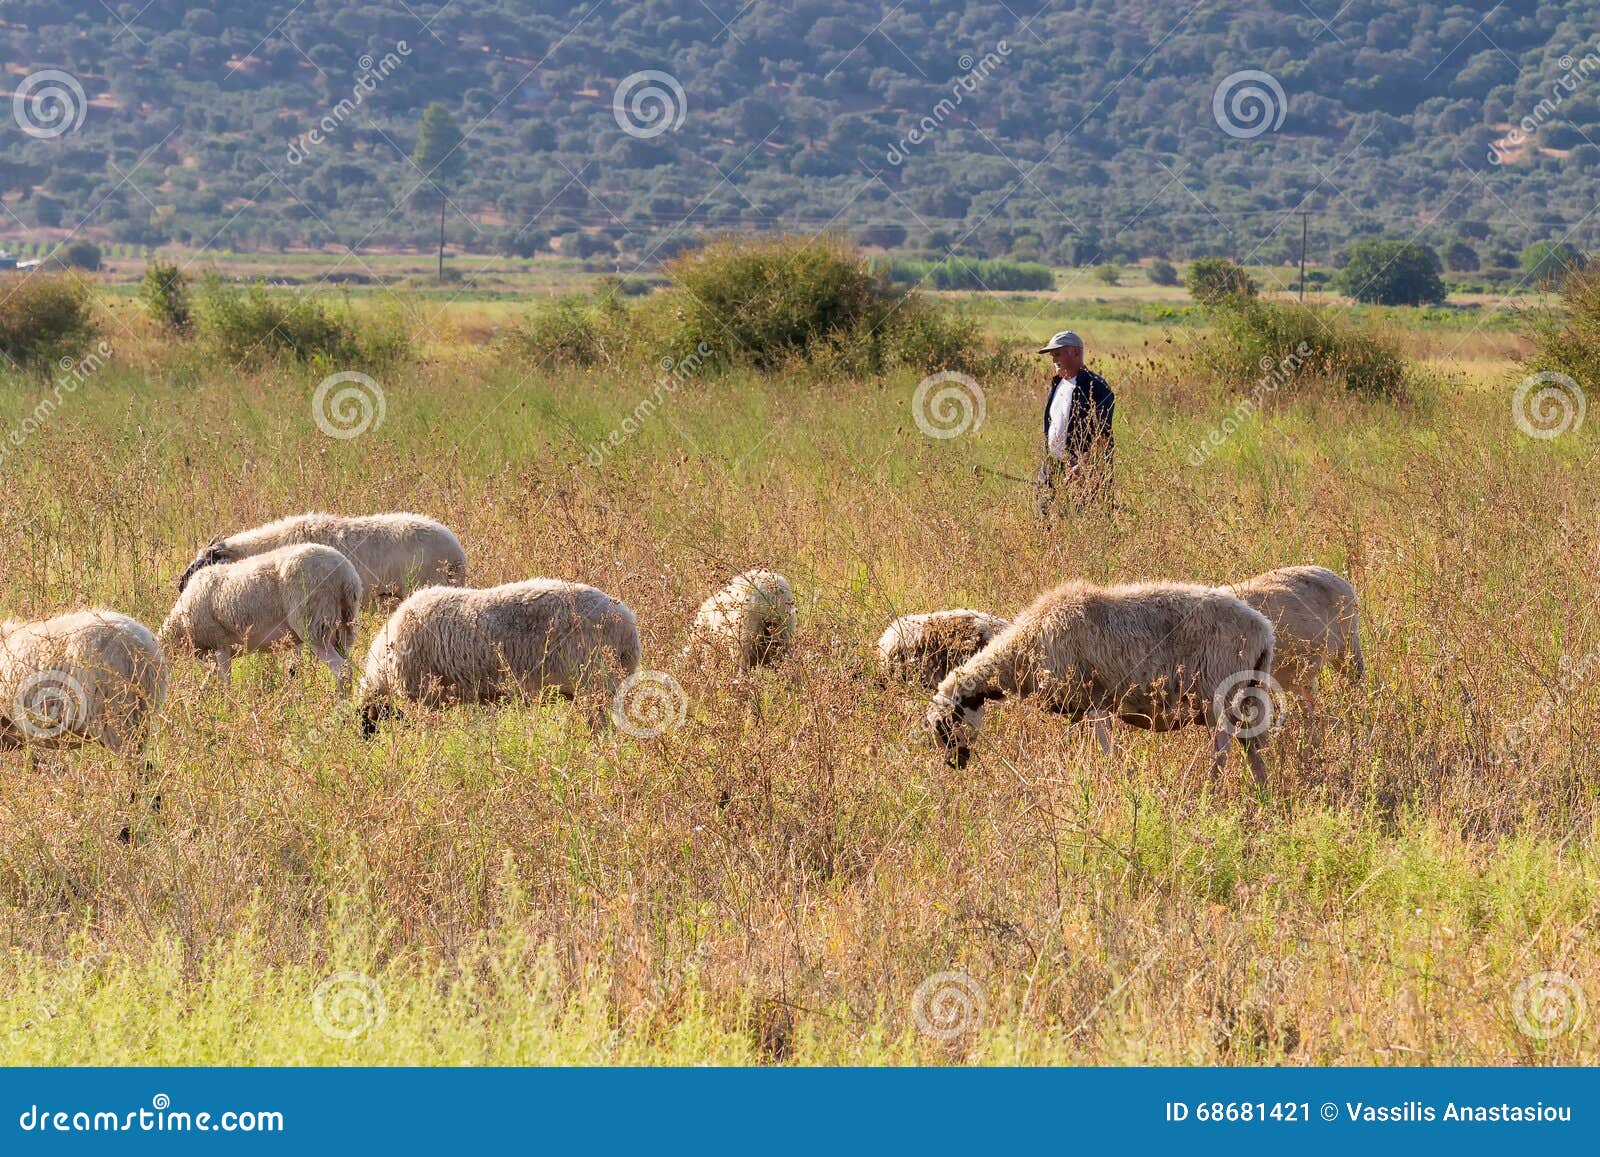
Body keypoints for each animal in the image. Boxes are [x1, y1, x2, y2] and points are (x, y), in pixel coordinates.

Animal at [160, 543, 362, 691]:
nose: (180, 582)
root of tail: (346, 577)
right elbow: (212, 677)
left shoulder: (220, 645)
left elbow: (225, 683)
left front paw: (227, 707)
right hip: (343, 628)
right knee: (349, 665)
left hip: (314, 625)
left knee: (341, 670)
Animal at [358, 579, 641, 735]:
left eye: (365, 723)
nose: (367, 745)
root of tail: (628, 625)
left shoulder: (424, 696)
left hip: (593, 682)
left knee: (602, 729)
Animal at [925, 580, 1277, 784]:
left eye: (946, 724)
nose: (953, 764)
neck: (1021, 650)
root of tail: (1263, 630)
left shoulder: (1096, 704)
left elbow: (1109, 754)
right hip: (1244, 698)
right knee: (1253, 752)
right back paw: (1264, 797)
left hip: (1217, 695)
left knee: (1222, 751)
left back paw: (1211, 793)